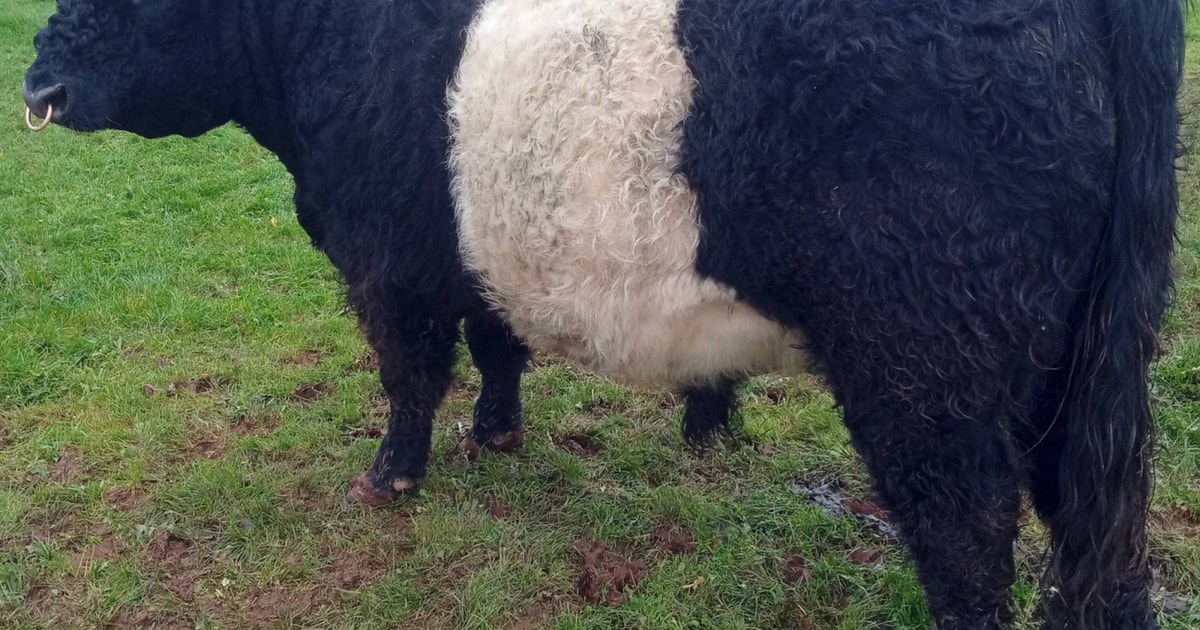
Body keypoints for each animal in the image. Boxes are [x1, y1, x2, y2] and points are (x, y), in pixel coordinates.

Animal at [21, 0, 1184, 627]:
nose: (36, 89)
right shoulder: (469, 251)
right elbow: (495, 344)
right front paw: (497, 432)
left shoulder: (386, 256)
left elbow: (409, 370)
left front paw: (392, 476)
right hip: (1082, 362)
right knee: (1094, 522)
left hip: (925, 359)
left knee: (967, 526)